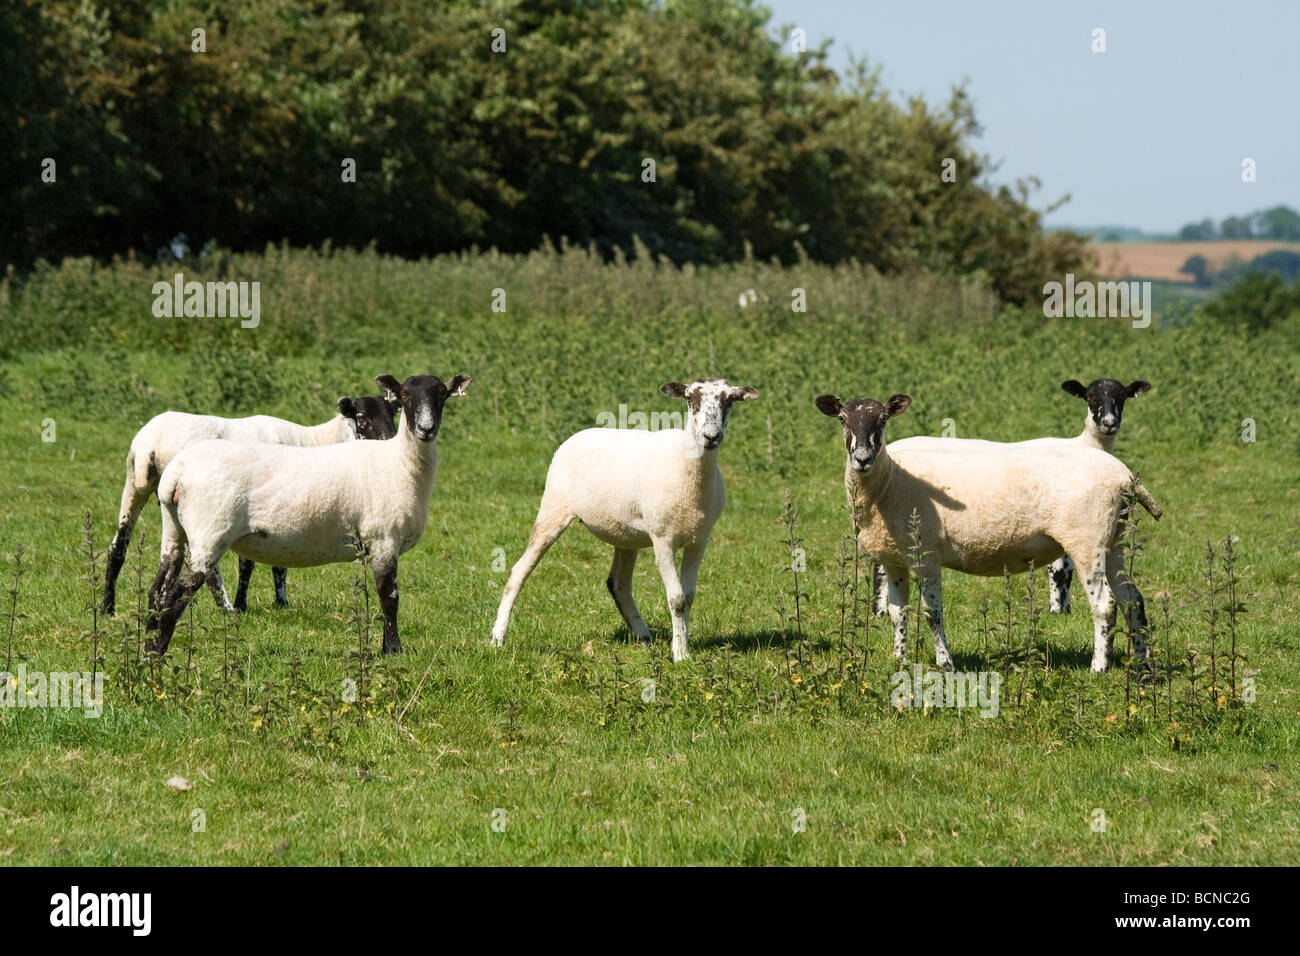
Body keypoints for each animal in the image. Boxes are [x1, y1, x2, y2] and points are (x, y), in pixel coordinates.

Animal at [103, 395, 398, 617]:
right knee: (206, 566)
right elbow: (261, 563)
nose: (389, 443)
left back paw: (108, 607)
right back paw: (226, 606)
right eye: (363, 419)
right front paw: (265, 602)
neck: (314, 441)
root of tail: (149, 446)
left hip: (135, 486)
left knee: (118, 546)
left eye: (393, 414)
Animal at [143, 373, 469, 656]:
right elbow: (389, 598)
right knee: (175, 598)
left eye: (442, 395)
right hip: (209, 535)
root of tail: (176, 472)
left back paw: (145, 651)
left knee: (158, 592)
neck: (399, 463)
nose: (426, 429)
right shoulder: (384, 540)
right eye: (404, 395)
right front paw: (392, 651)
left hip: (174, 530)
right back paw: (157, 657)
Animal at [490, 378, 759, 662]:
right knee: (518, 571)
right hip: (553, 507)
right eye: (690, 399)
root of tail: (577, 434)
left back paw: (643, 635)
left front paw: (682, 645)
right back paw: (497, 638)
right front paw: (680, 654)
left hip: (625, 534)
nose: (710, 437)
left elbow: (689, 596)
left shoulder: (700, 540)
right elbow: (676, 599)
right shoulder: (663, 538)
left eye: (730, 401)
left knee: (618, 584)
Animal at [815, 390, 1160, 673]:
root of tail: (1124, 476)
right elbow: (897, 612)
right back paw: (1143, 665)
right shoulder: (894, 559)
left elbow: (932, 613)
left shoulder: (926, 555)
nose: (862, 459)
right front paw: (898, 659)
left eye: (883, 419)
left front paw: (945, 663)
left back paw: (1099, 668)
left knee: (1105, 605)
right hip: (1114, 539)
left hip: (1088, 539)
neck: (891, 478)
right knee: (1132, 599)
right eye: (843, 419)